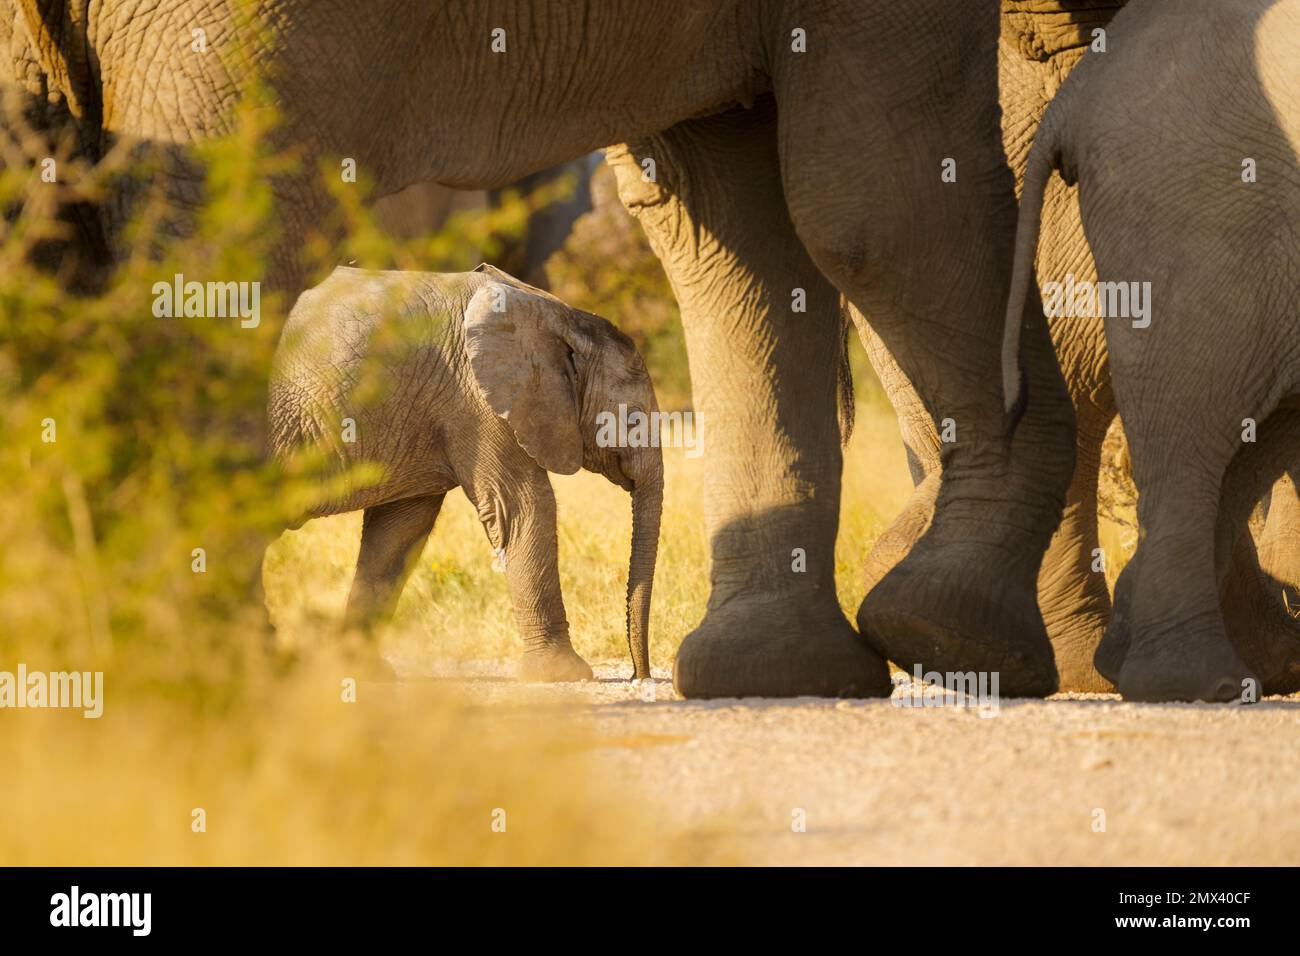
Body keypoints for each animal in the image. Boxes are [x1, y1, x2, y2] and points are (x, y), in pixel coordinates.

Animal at [268, 263, 662, 681]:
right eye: (634, 420)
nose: (639, 674)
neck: (560, 316)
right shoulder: (478, 402)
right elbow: (524, 508)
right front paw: (564, 675)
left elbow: (399, 530)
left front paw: (361, 672)